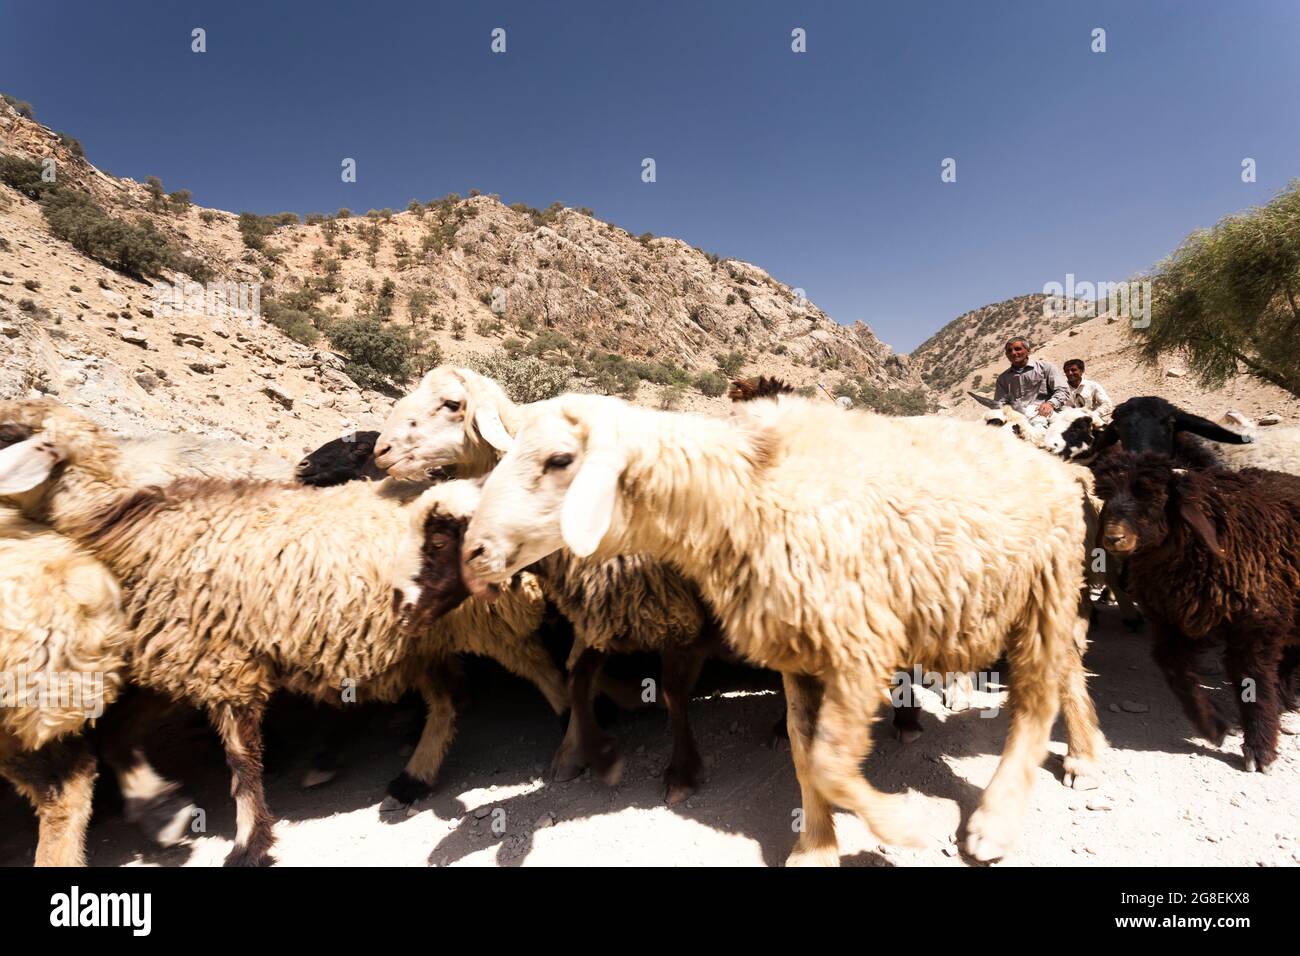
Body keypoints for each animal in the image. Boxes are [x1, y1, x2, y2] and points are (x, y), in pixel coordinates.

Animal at [456, 393, 1107, 864]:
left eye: (560, 460)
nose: (473, 554)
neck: (749, 492)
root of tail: (1057, 467)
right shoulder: (802, 649)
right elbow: (803, 747)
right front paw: (814, 847)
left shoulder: (860, 643)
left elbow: (830, 760)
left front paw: (900, 824)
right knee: (1066, 670)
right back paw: (1084, 754)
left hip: (1047, 584)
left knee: (1037, 697)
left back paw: (997, 820)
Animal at [1092, 451, 1300, 772]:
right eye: (1105, 495)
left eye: (1153, 498)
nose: (1113, 538)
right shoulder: (1174, 622)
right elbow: (1173, 669)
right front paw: (1213, 725)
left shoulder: (1256, 626)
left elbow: (1254, 681)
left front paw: (1260, 749)